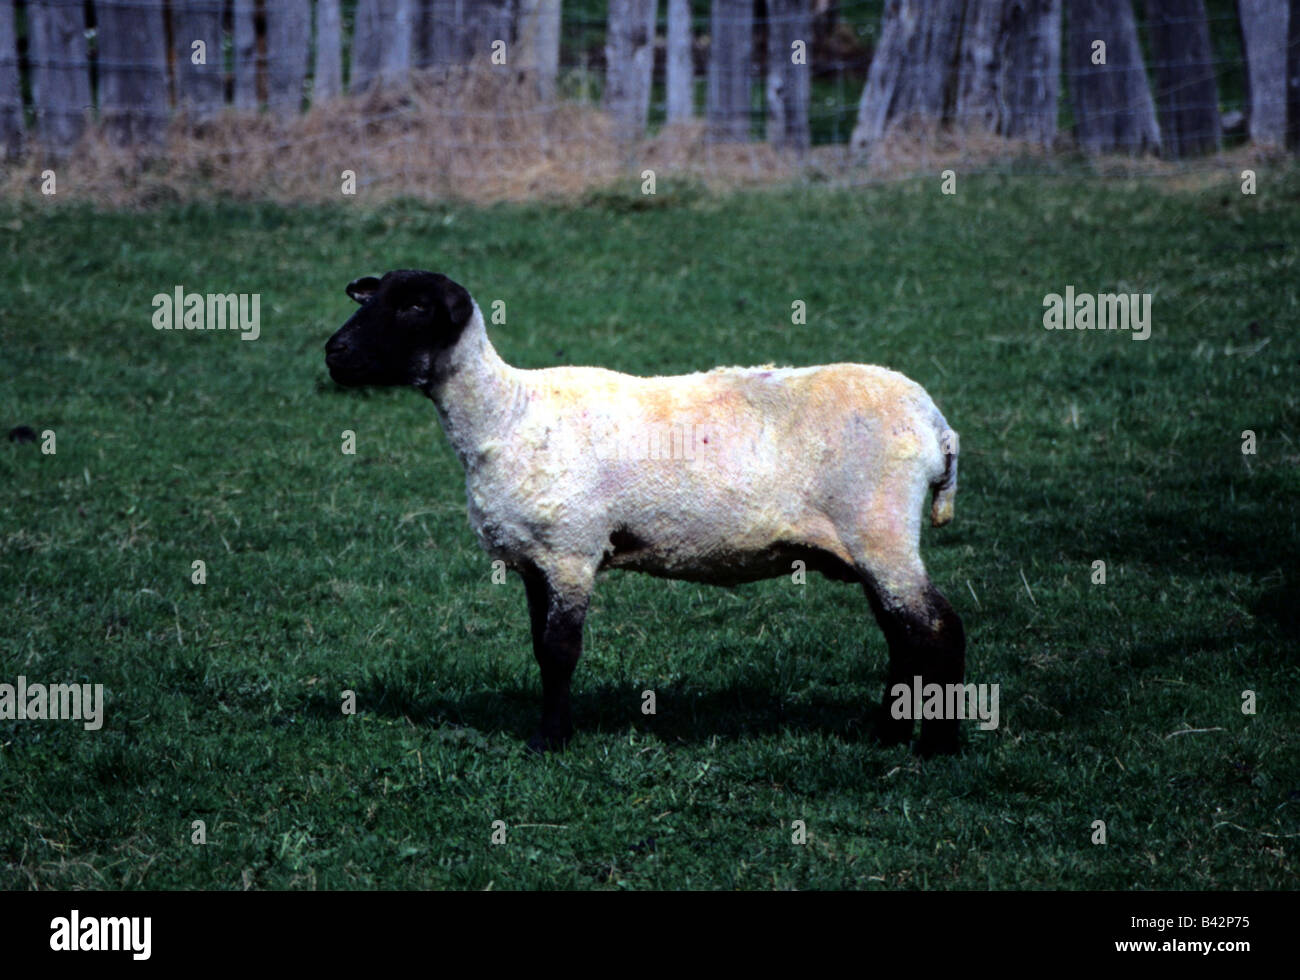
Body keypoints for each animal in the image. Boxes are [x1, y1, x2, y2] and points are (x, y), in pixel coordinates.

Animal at [324, 270, 965, 755]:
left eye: (413, 306)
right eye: (370, 298)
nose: (334, 352)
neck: (505, 414)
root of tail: (937, 425)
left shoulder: (571, 549)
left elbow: (560, 651)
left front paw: (550, 742)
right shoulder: (535, 559)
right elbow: (539, 647)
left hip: (879, 527)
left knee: (936, 630)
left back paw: (938, 747)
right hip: (865, 543)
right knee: (903, 637)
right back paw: (884, 735)